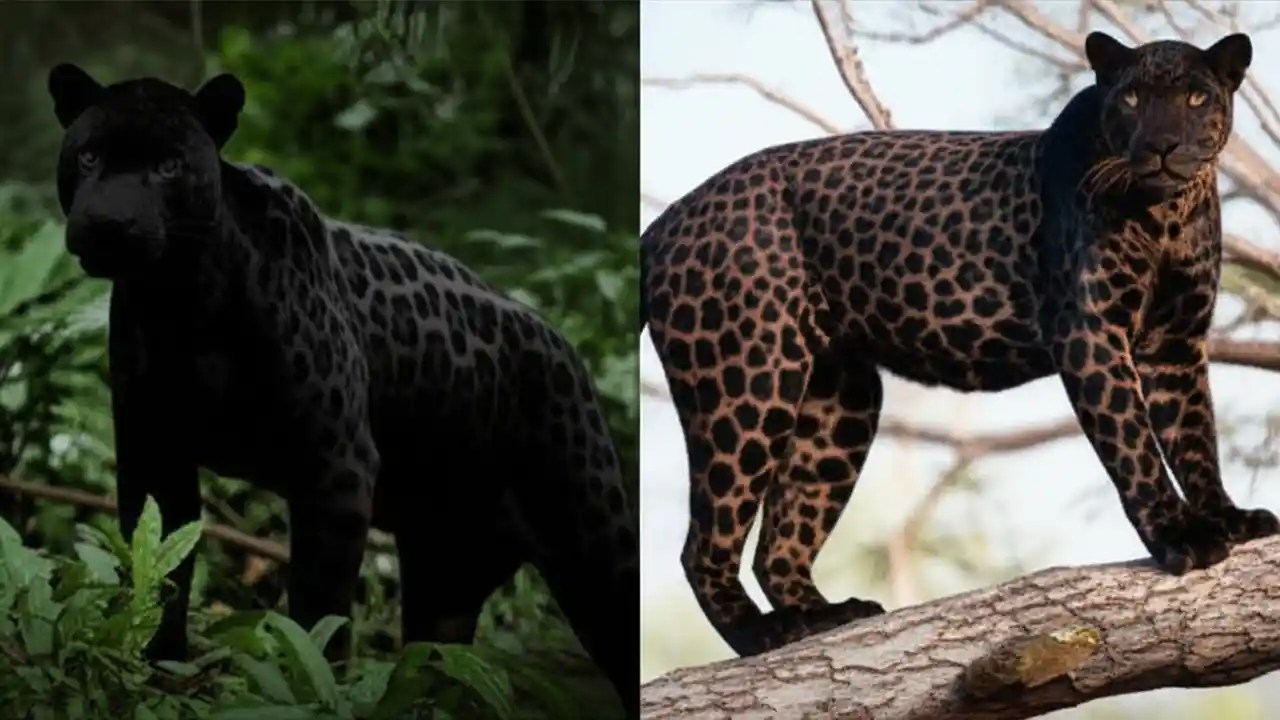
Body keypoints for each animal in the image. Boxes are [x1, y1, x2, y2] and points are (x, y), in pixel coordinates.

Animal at [47, 63, 638, 713]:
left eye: (169, 166)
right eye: (90, 155)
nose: (109, 225)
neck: (180, 302)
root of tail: (565, 347)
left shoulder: (335, 469)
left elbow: (317, 611)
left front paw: (310, 692)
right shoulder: (155, 452)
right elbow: (162, 574)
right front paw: (157, 673)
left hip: (595, 542)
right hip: (443, 578)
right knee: (437, 663)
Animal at [638, 30, 1279, 658]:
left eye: (1196, 98)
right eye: (1131, 98)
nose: (1164, 145)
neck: (1167, 213)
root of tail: (665, 222)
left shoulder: (1175, 342)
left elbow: (1195, 438)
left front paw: (1226, 517)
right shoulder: (1090, 335)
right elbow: (1135, 445)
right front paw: (1180, 536)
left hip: (841, 403)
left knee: (780, 546)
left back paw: (821, 617)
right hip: (748, 380)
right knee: (704, 545)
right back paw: (758, 634)